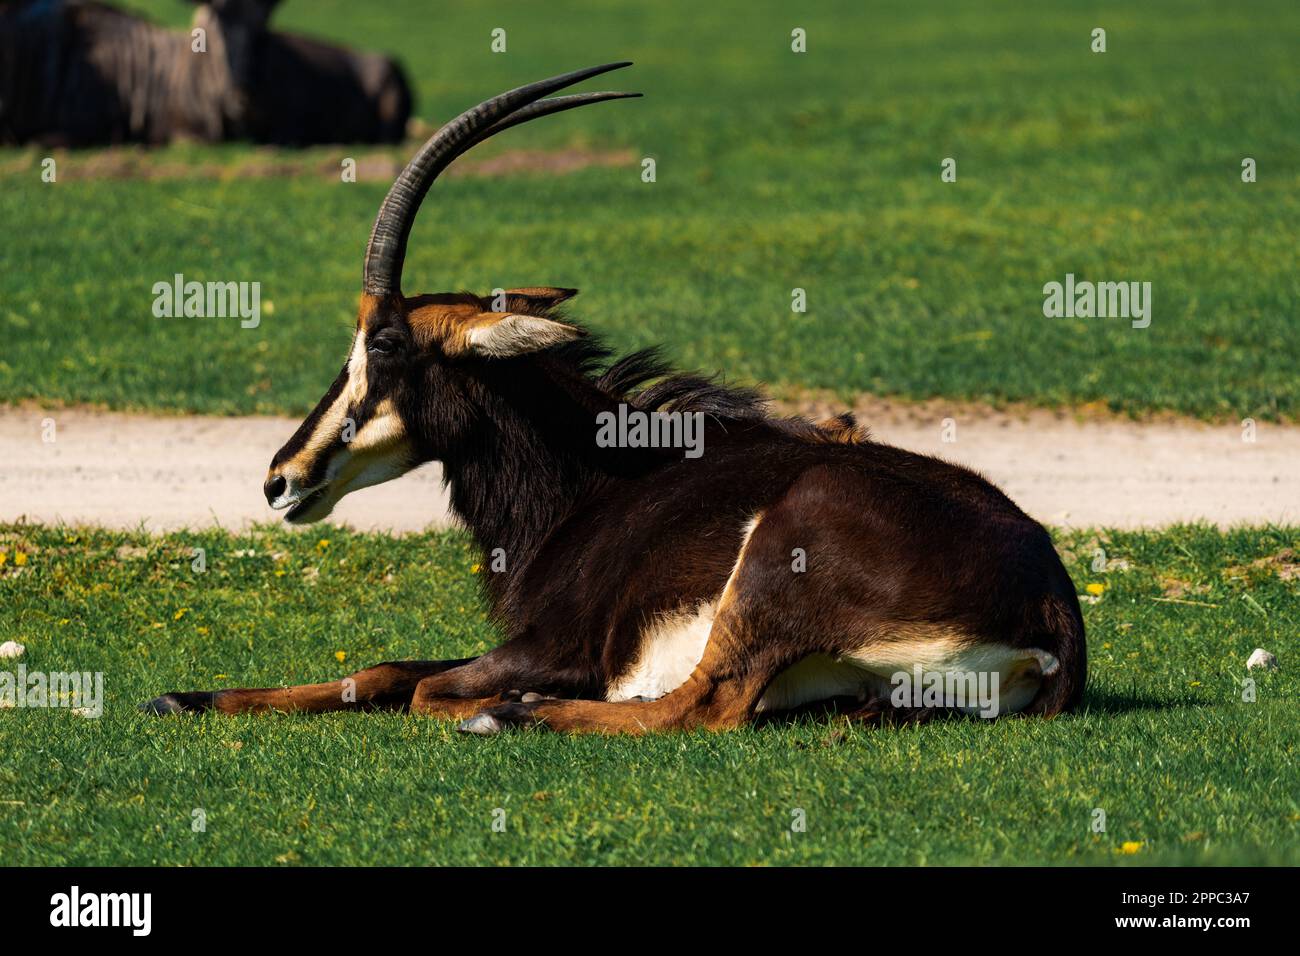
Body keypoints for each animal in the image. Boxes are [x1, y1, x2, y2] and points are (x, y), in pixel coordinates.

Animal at [142, 63, 1087, 733]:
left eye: (384, 344)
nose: (281, 478)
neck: (589, 484)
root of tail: (1051, 607)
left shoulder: (555, 646)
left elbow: (418, 686)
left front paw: (495, 703)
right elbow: (379, 670)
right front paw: (185, 697)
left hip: (778, 562)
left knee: (700, 707)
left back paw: (509, 717)